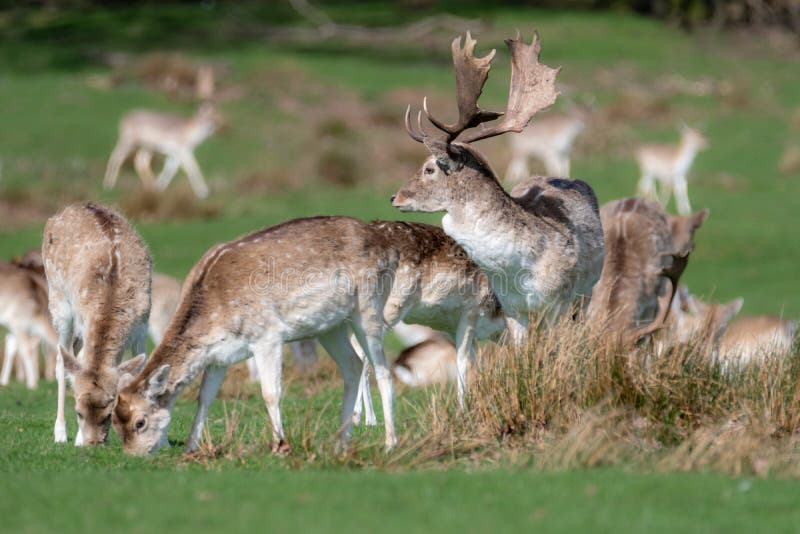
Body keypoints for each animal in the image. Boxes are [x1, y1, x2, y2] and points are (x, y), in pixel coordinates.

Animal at [43, 203, 151, 445]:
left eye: (109, 414)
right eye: (78, 412)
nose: (93, 444)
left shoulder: (142, 325)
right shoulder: (84, 322)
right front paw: (77, 438)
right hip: (58, 302)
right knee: (61, 362)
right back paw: (60, 433)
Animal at [112, 216, 400, 455]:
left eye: (140, 422)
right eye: (114, 422)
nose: (134, 456)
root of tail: (391, 247)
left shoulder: (268, 336)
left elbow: (270, 393)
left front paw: (280, 445)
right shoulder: (220, 356)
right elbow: (204, 397)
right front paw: (191, 448)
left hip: (369, 306)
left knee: (383, 369)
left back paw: (389, 443)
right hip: (331, 327)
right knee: (353, 365)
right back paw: (341, 443)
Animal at [392, 31, 605, 343]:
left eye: (429, 168)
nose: (395, 196)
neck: (520, 271)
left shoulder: (557, 303)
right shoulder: (511, 308)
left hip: (586, 292)